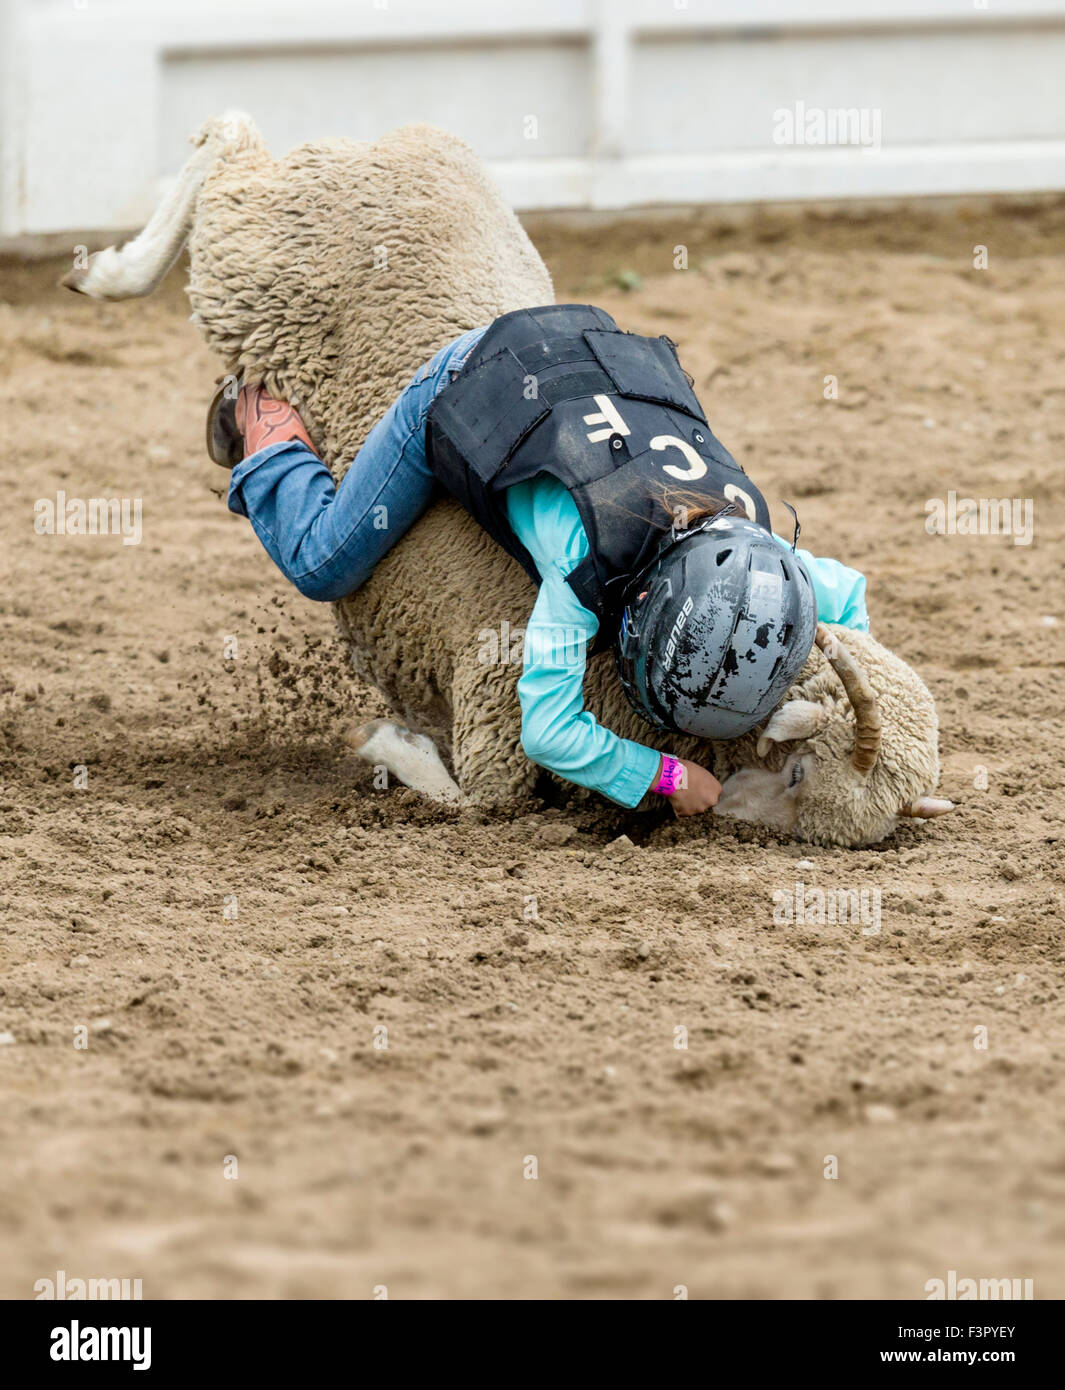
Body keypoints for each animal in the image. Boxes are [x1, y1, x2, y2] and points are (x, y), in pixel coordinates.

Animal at [66, 112, 953, 846]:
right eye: (799, 771)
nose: (723, 815)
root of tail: (378, 145)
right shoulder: (499, 683)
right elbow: (488, 794)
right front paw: (385, 743)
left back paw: (228, 414)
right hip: (253, 260)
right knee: (226, 141)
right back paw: (114, 275)